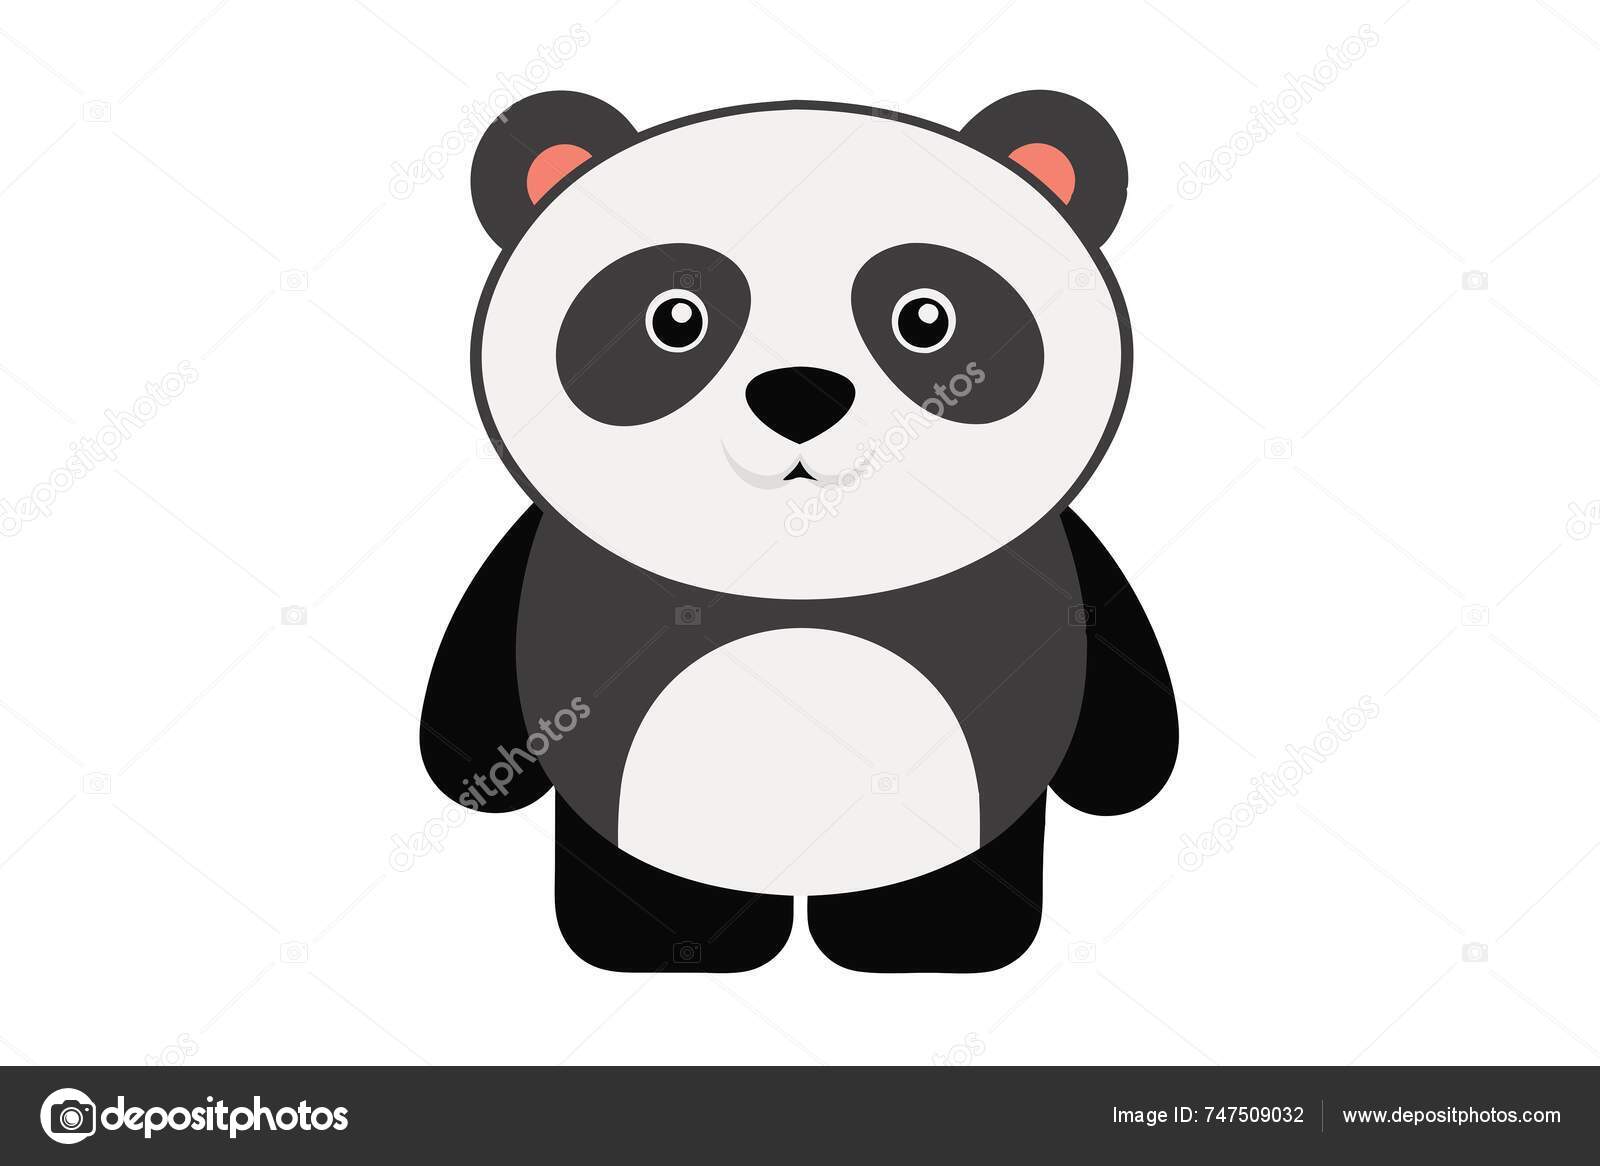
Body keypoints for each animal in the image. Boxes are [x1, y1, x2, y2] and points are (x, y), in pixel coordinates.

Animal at [421, 90, 1178, 973]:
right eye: (674, 318)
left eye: (927, 318)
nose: (799, 393)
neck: (801, 577)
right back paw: (667, 943)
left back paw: (931, 942)